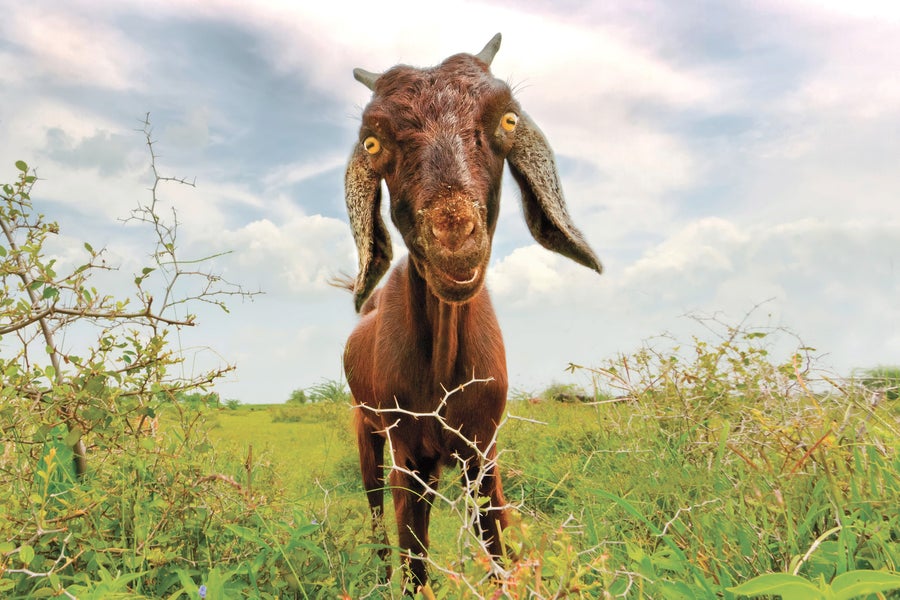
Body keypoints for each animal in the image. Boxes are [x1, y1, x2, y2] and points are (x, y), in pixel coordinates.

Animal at [341, 33, 602, 590]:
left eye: (507, 119)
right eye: (372, 143)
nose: (454, 238)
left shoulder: (484, 450)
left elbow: (499, 549)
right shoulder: (409, 456)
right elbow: (415, 564)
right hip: (366, 428)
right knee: (374, 509)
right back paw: (377, 574)